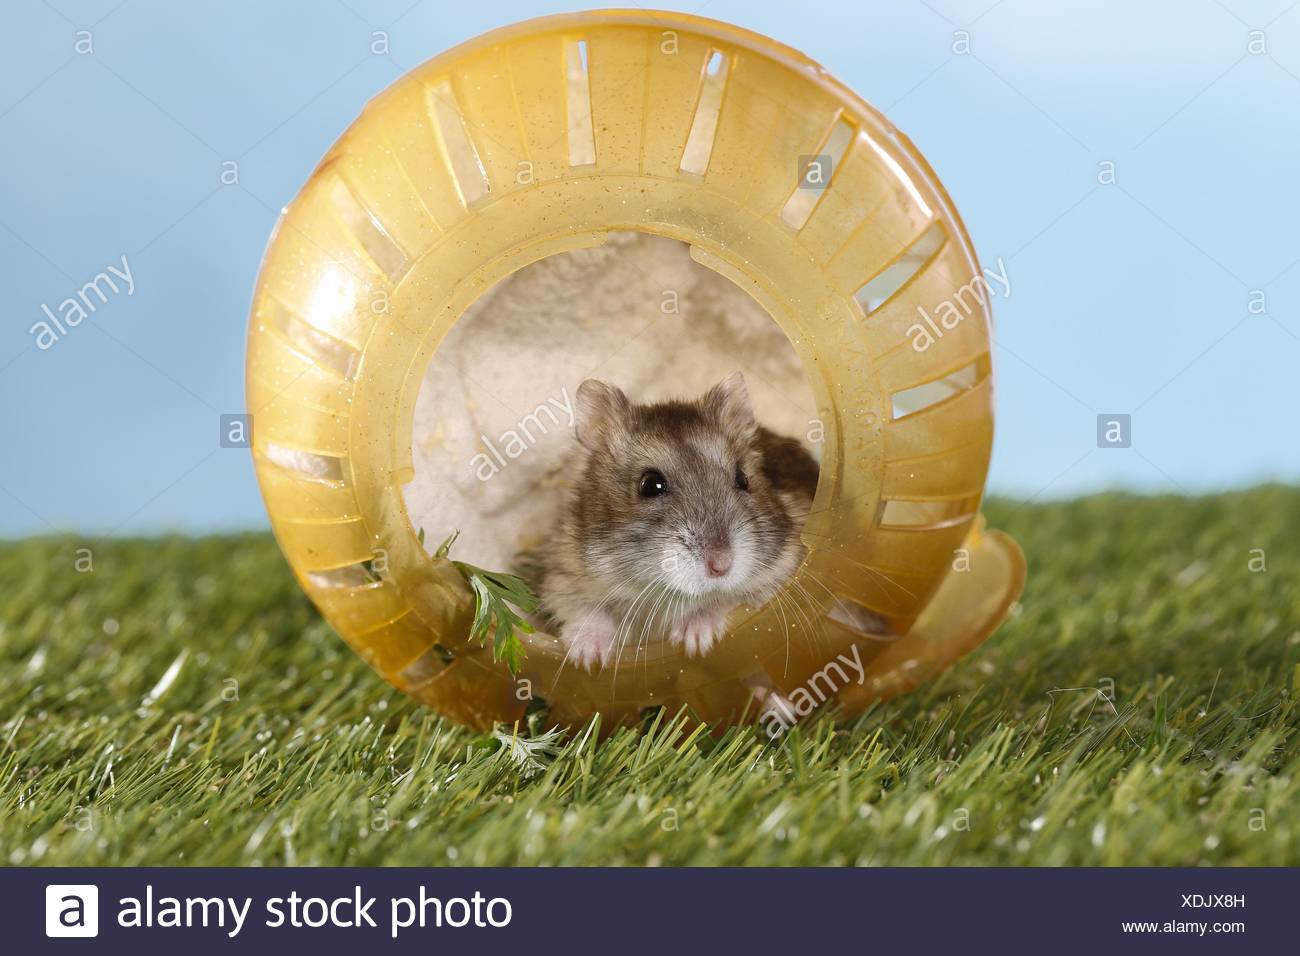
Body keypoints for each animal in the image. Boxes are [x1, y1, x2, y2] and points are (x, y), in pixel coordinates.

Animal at [537, 372, 819, 670]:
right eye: (650, 485)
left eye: (743, 478)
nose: (722, 566)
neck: (666, 592)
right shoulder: (563, 574)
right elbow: (585, 610)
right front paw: (585, 658)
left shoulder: (784, 570)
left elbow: (728, 600)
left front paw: (693, 640)